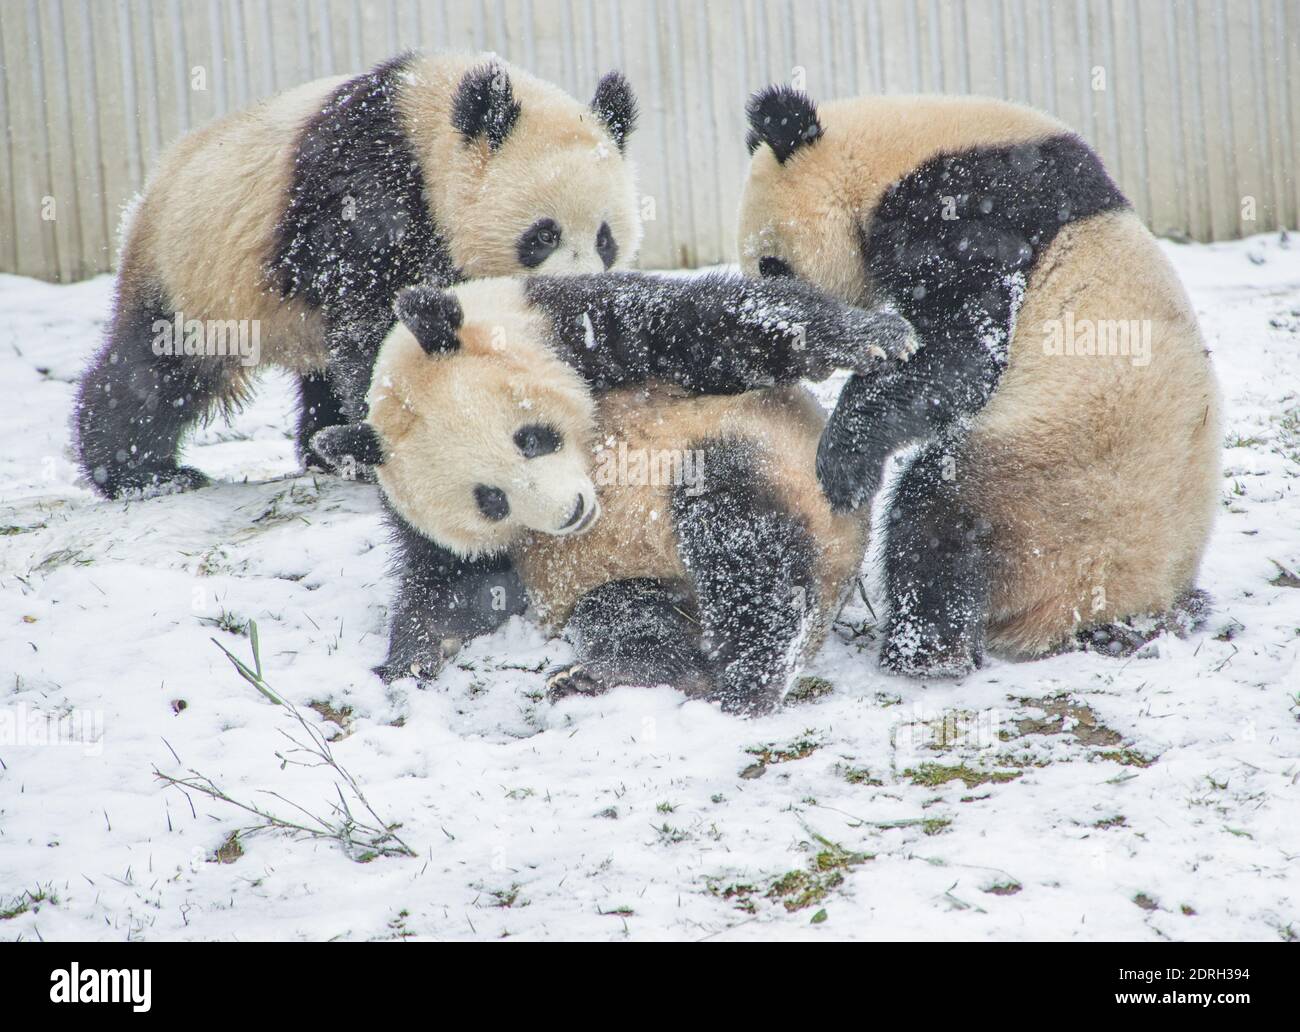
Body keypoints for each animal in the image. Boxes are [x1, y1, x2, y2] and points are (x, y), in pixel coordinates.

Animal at [73, 51, 641, 499]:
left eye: (605, 239)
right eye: (543, 235)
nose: (582, 287)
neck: (423, 128)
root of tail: (149, 188)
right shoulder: (364, 197)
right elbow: (373, 320)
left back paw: (321, 449)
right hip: (197, 271)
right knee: (159, 367)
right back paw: (139, 473)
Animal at [310, 273, 919, 713]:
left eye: (531, 438)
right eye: (491, 500)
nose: (571, 514)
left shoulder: (578, 330)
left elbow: (718, 328)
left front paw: (877, 337)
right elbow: (455, 583)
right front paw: (405, 662)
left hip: (784, 474)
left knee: (741, 534)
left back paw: (749, 671)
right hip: (649, 583)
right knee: (625, 613)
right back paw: (616, 674)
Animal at [737, 87, 1222, 676]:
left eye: (773, 265)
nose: (782, 337)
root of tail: (1113, 608)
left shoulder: (968, 207)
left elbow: (965, 348)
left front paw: (842, 465)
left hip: (1054, 482)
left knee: (940, 518)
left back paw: (922, 651)